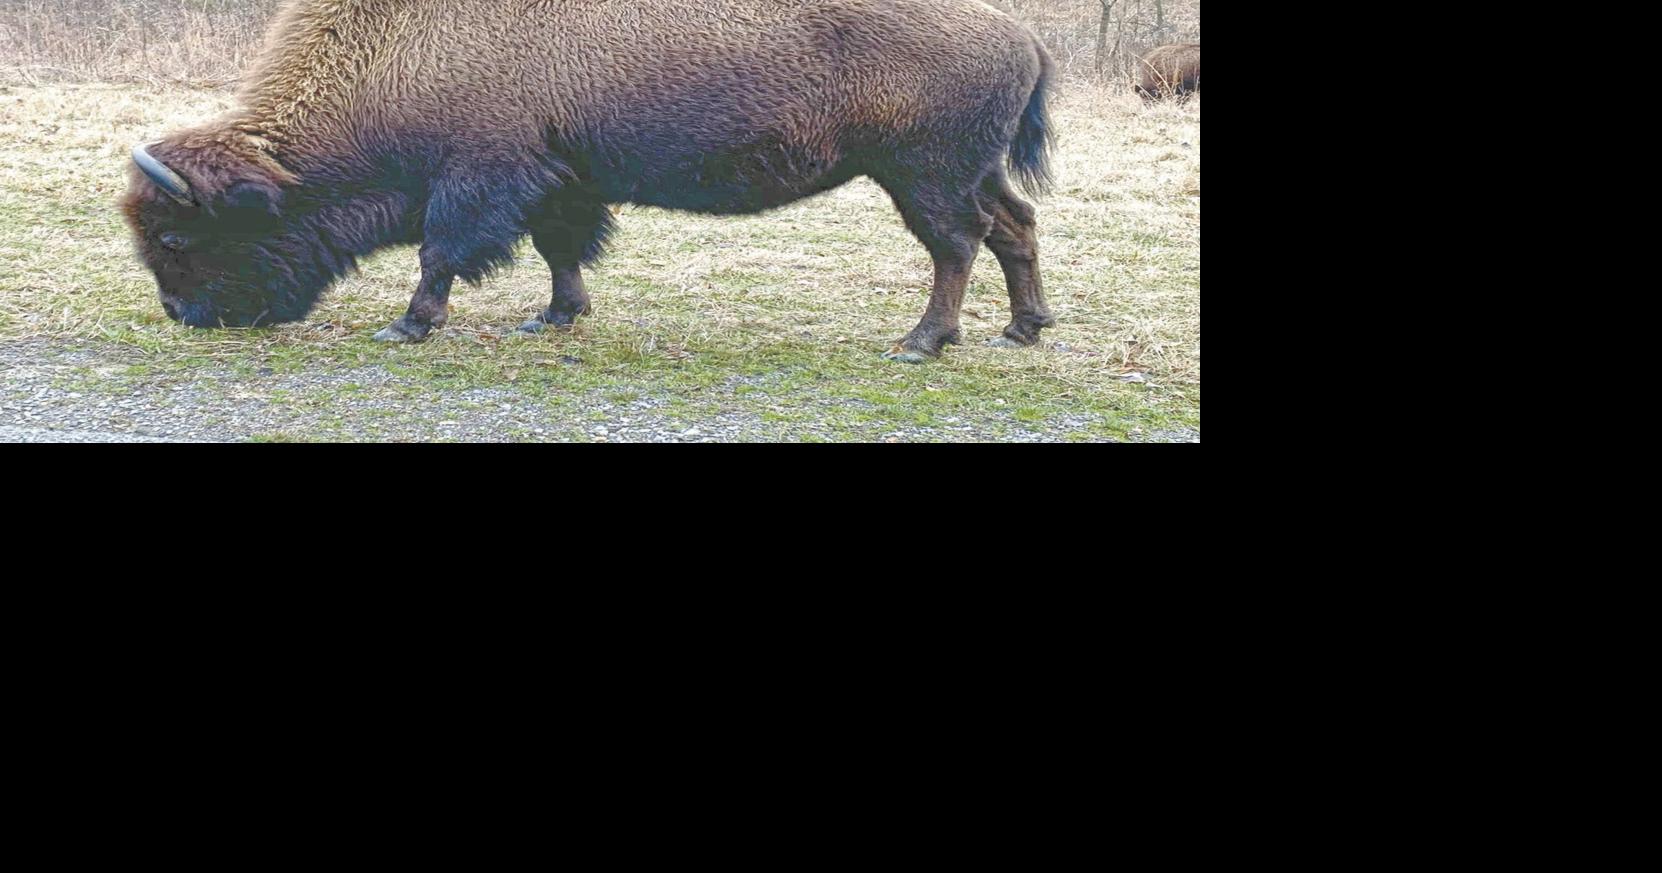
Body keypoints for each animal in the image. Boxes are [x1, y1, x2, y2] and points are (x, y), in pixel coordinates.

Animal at [123, 0, 1059, 363]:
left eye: (175, 233)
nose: (183, 314)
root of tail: (1021, 34)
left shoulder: (476, 178)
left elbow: (440, 255)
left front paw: (408, 325)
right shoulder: (555, 180)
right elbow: (559, 250)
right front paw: (554, 316)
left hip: (922, 177)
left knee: (957, 246)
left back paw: (921, 341)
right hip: (966, 173)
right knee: (1014, 228)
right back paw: (1022, 330)